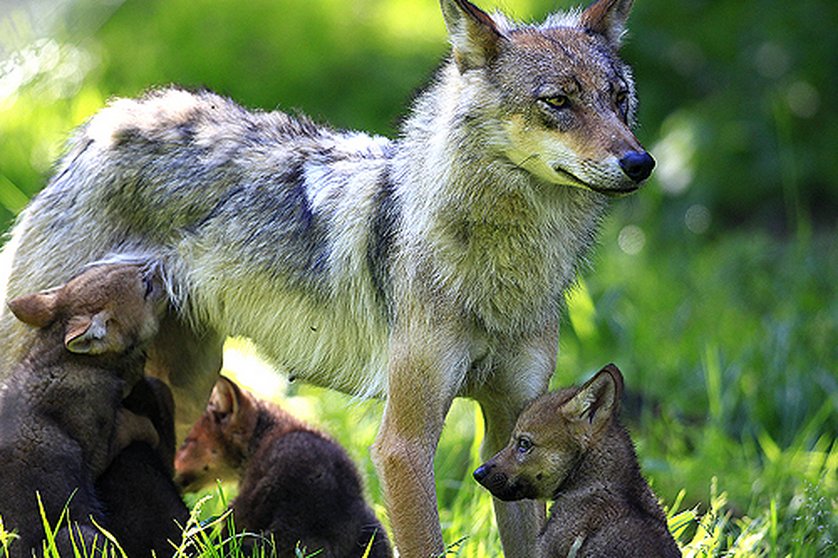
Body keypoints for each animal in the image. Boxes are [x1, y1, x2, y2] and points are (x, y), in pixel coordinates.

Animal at [0, 264, 164, 556]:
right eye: (146, 286)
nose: (158, 267)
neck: (59, 358)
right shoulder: (100, 448)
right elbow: (136, 424)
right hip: (83, 536)